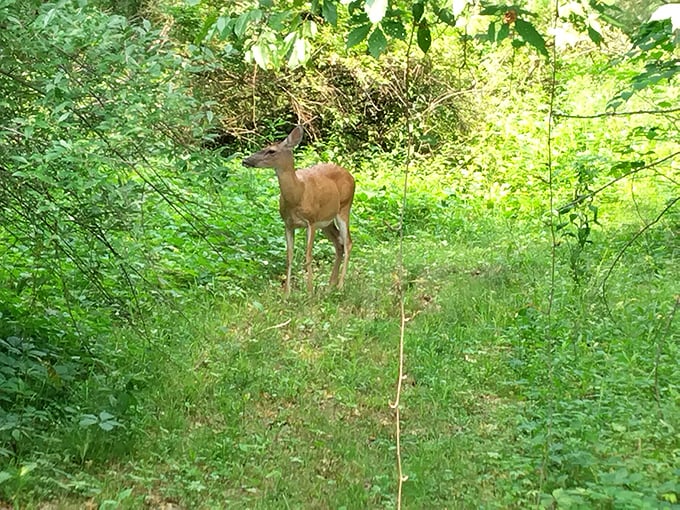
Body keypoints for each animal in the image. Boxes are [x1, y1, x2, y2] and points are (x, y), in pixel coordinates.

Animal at [242, 125, 355, 297]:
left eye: (271, 151)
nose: (245, 160)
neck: (298, 194)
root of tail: (351, 176)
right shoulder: (288, 224)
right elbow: (289, 257)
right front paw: (287, 293)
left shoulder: (311, 221)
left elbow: (308, 256)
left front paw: (309, 291)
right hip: (326, 222)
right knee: (338, 243)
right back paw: (330, 286)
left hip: (344, 207)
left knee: (347, 242)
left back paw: (340, 286)